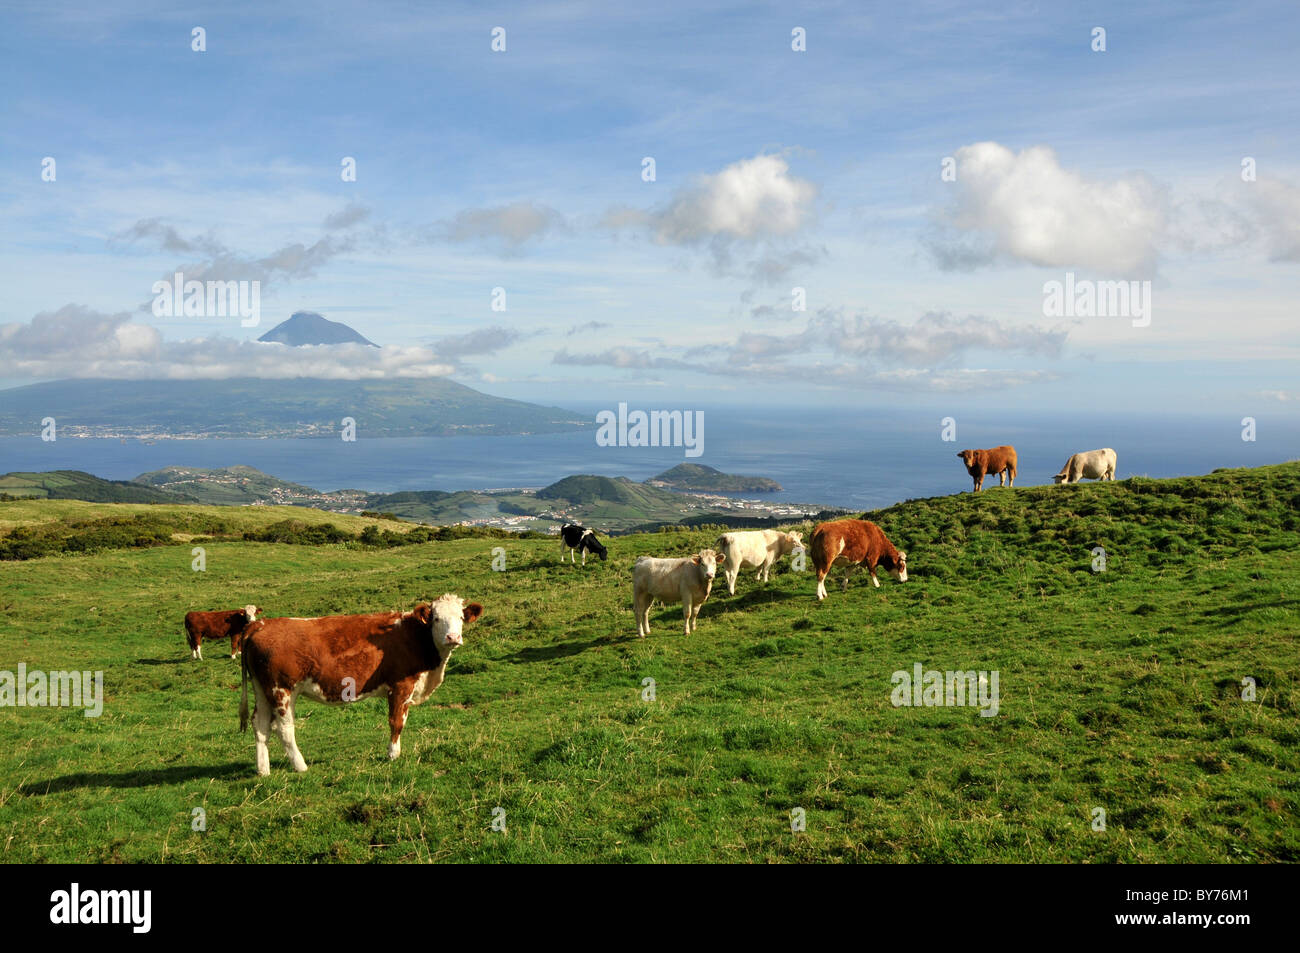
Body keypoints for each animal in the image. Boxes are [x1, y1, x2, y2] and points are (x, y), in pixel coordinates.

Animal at [238, 594, 483, 776]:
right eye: (436, 619)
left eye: (461, 617)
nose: (453, 637)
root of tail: (261, 625)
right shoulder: (400, 686)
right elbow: (396, 722)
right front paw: (393, 754)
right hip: (282, 689)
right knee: (284, 728)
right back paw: (300, 766)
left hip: (262, 688)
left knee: (260, 725)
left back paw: (263, 770)